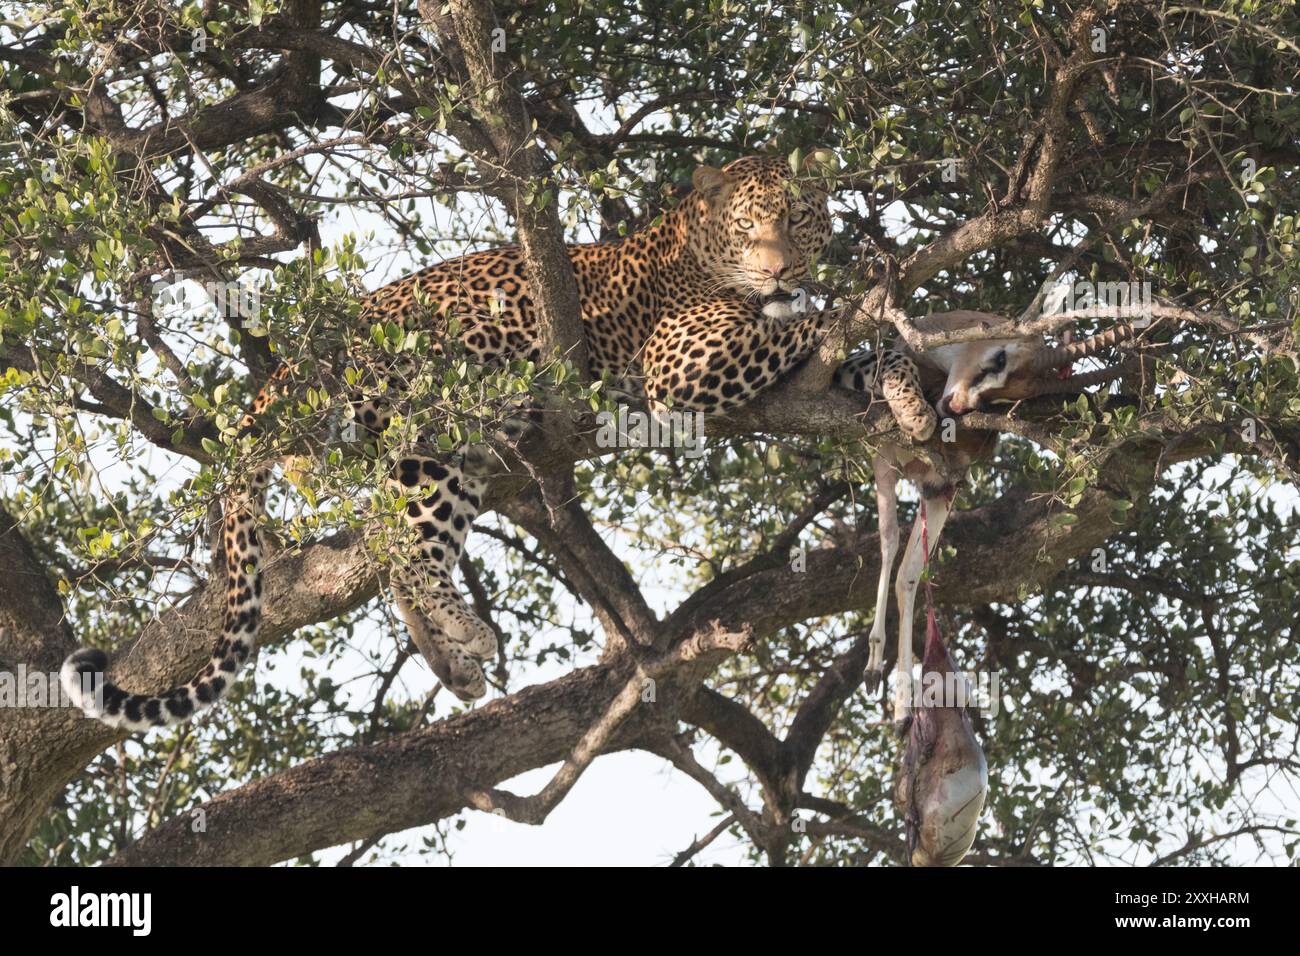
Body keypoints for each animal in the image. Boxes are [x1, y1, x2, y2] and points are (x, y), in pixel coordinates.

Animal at [61, 152, 938, 731]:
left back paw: (451, 659)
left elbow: (863, 351)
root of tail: (282, 378)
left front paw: (912, 397)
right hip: (433, 425)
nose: (782, 268)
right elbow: (820, 321)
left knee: (391, 552)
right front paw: (860, 317)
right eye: (751, 225)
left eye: (798, 219)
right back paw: (468, 632)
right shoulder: (681, 361)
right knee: (408, 549)